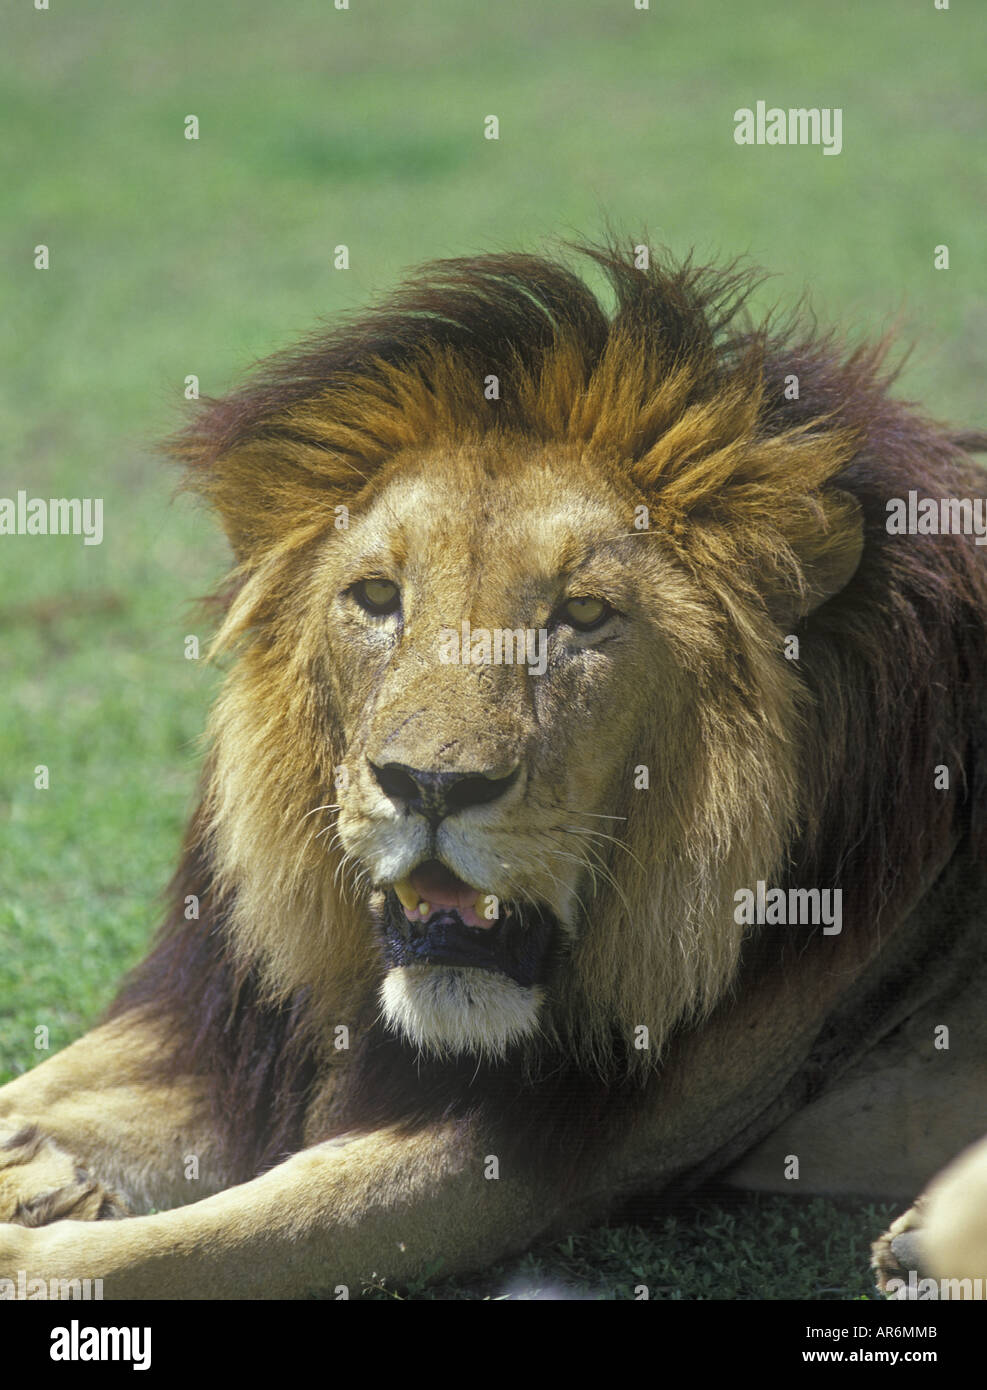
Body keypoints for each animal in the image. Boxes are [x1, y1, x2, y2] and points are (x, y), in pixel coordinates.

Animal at [1, 243, 985, 1300]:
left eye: (584, 615)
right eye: (377, 598)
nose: (431, 787)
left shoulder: (519, 1158)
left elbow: (213, 1238)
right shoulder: (217, 1037)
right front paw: (41, 1169)